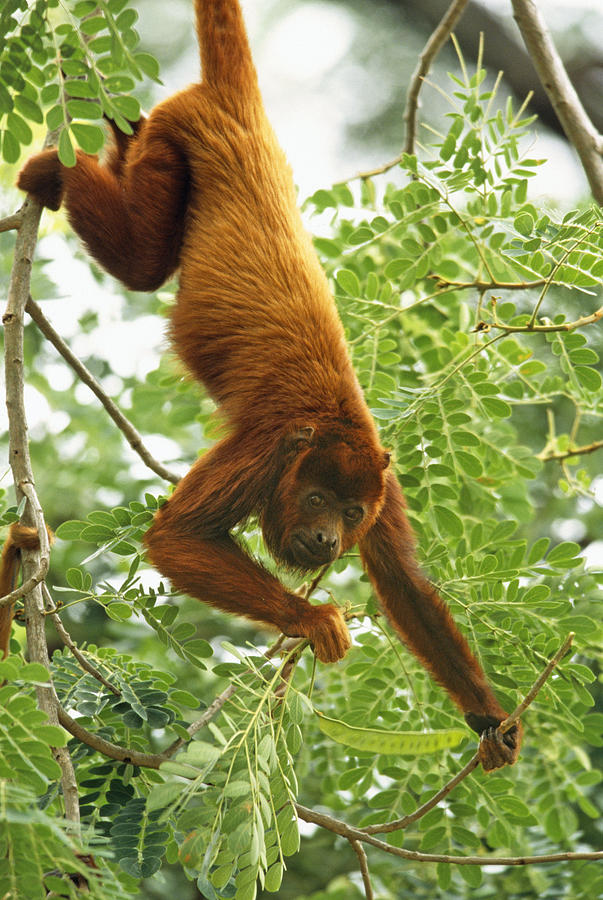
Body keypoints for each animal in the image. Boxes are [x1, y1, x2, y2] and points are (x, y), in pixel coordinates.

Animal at [16, 0, 521, 770]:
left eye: (349, 513)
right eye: (314, 500)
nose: (325, 540)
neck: (332, 426)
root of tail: (240, 108)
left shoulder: (382, 478)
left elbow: (403, 582)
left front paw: (488, 716)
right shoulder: (268, 448)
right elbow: (177, 538)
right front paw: (311, 618)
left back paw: (105, 133)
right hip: (176, 140)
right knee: (141, 261)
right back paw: (49, 168)